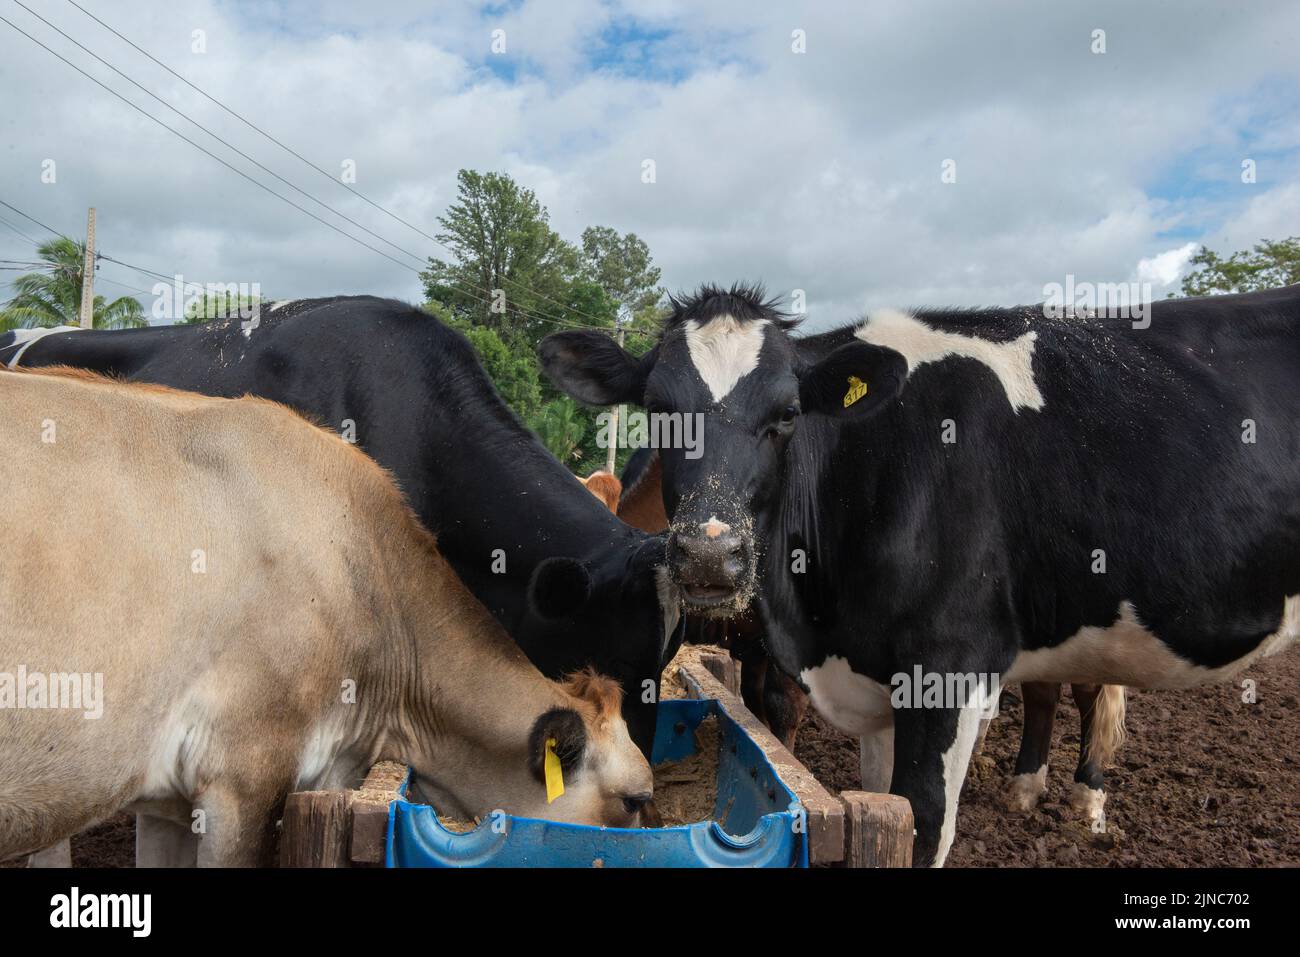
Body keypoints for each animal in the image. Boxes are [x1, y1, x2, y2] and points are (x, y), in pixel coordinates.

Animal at [539, 282, 1300, 866]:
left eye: (788, 414)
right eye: (659, 411)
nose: (706, 555)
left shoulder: (949, 669)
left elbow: (922, 825)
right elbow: (882, 801)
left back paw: (1086, 800)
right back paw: (1028, 790)